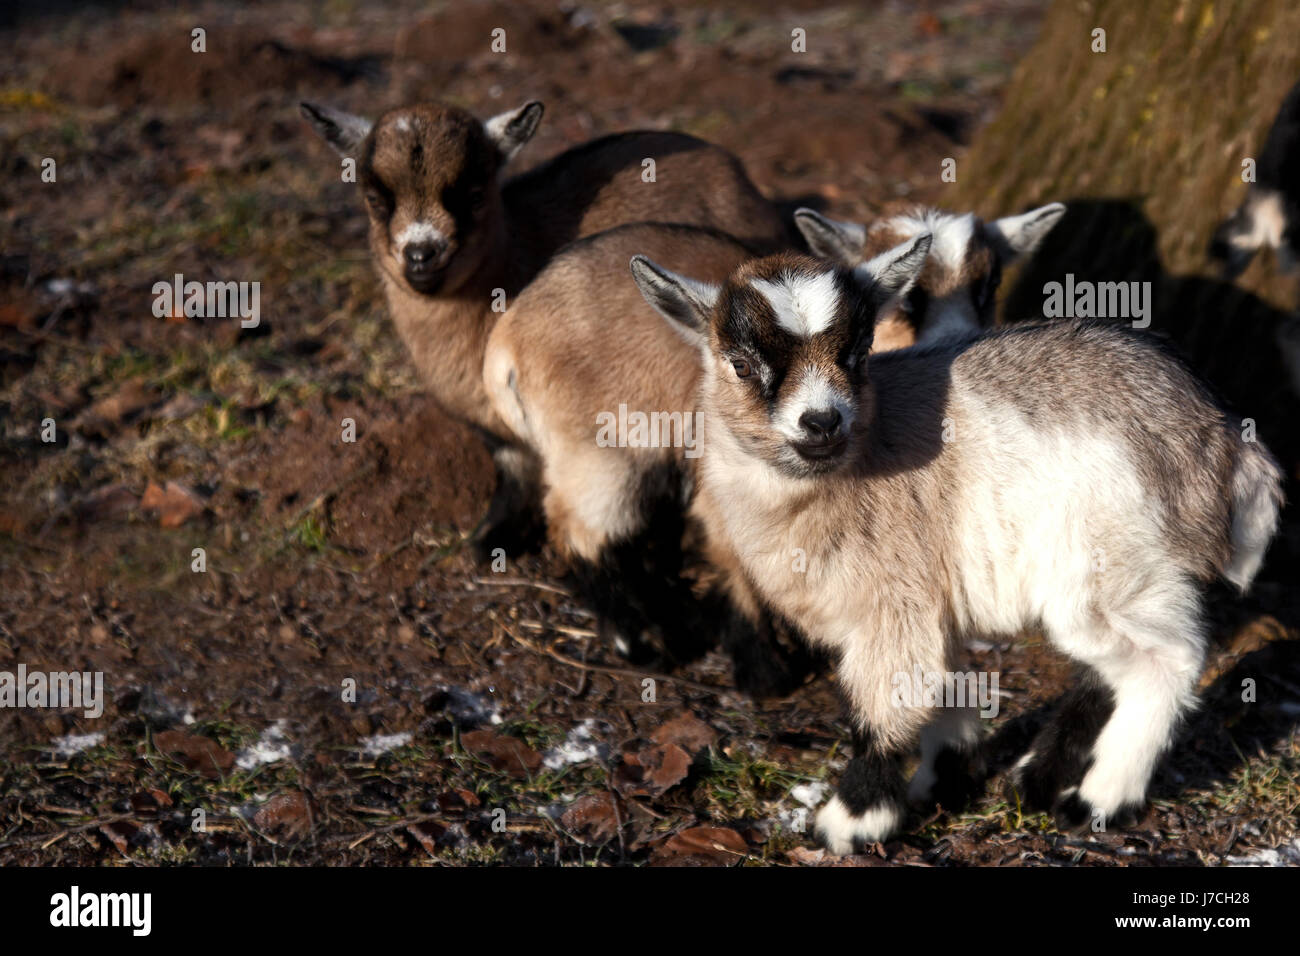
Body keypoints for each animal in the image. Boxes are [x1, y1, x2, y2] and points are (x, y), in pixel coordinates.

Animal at [629, 239, 1283, 853]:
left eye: (857, 354)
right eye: (741, 364)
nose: (821, 423)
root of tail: (1225, 440)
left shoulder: (893, 601)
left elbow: (887, 706)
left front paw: (852, 823)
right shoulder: (928, 602)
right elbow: (944, 687)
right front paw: (941, 783)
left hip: (1118, 561)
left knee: (1167, 658)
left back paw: (1099, 797)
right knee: (1109, 665)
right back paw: (1038, 779)